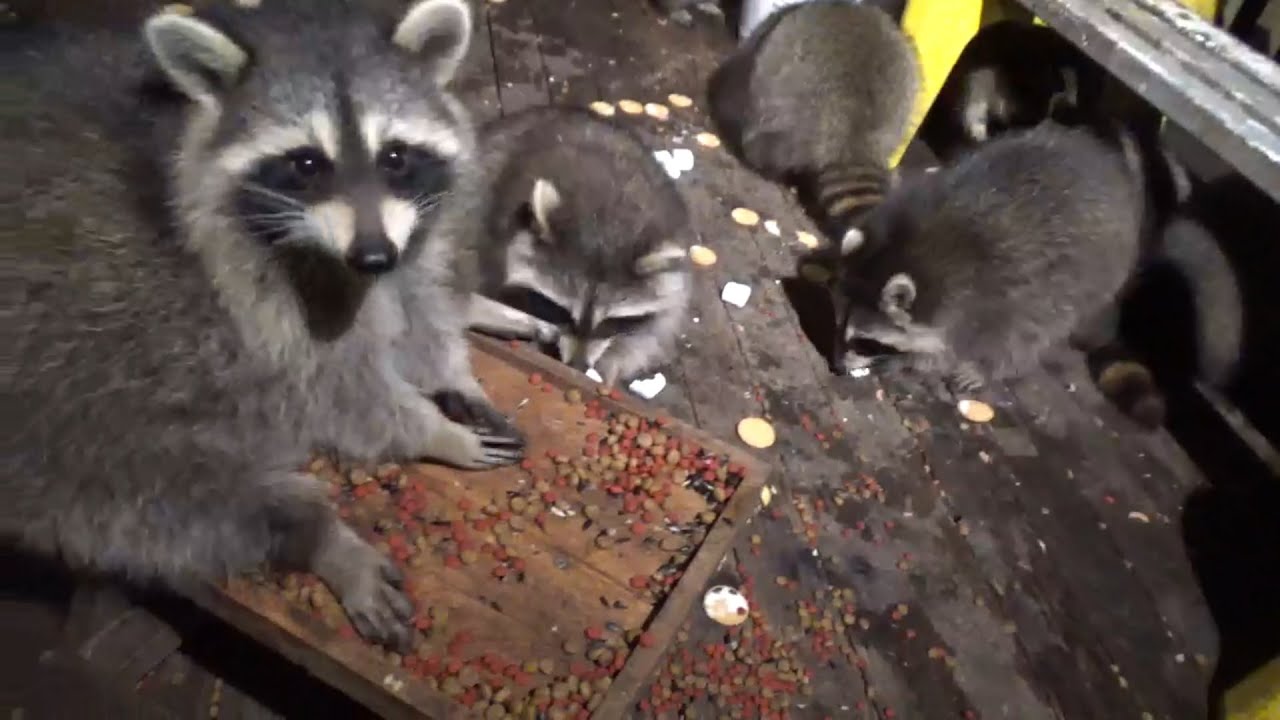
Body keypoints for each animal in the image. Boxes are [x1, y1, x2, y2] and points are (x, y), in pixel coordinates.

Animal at [1, 0, 522, 651]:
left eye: (396, 157)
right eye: (306, 163)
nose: (373, 256)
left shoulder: (402, 237)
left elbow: (419, 293)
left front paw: (453, 376)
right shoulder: (254, 300)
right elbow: (335, 389)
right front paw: (434, 431)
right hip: (63, 421)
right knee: (162, 500)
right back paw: (316, 533)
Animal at [441, 106, 694, 387]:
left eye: (609, 322)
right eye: (559, 310)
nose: (577, 366)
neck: (606, 223)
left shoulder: (673, 271)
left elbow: (657, 323)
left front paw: (613, 364)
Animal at [827, 123, 1148, 393]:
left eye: (865, 343)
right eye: (839, 322)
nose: (837, 367)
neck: (909, 244)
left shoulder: (976, 296)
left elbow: (952, 346)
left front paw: (911, 362)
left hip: (1086, 278)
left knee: (1033, 329)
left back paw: (989, 368)